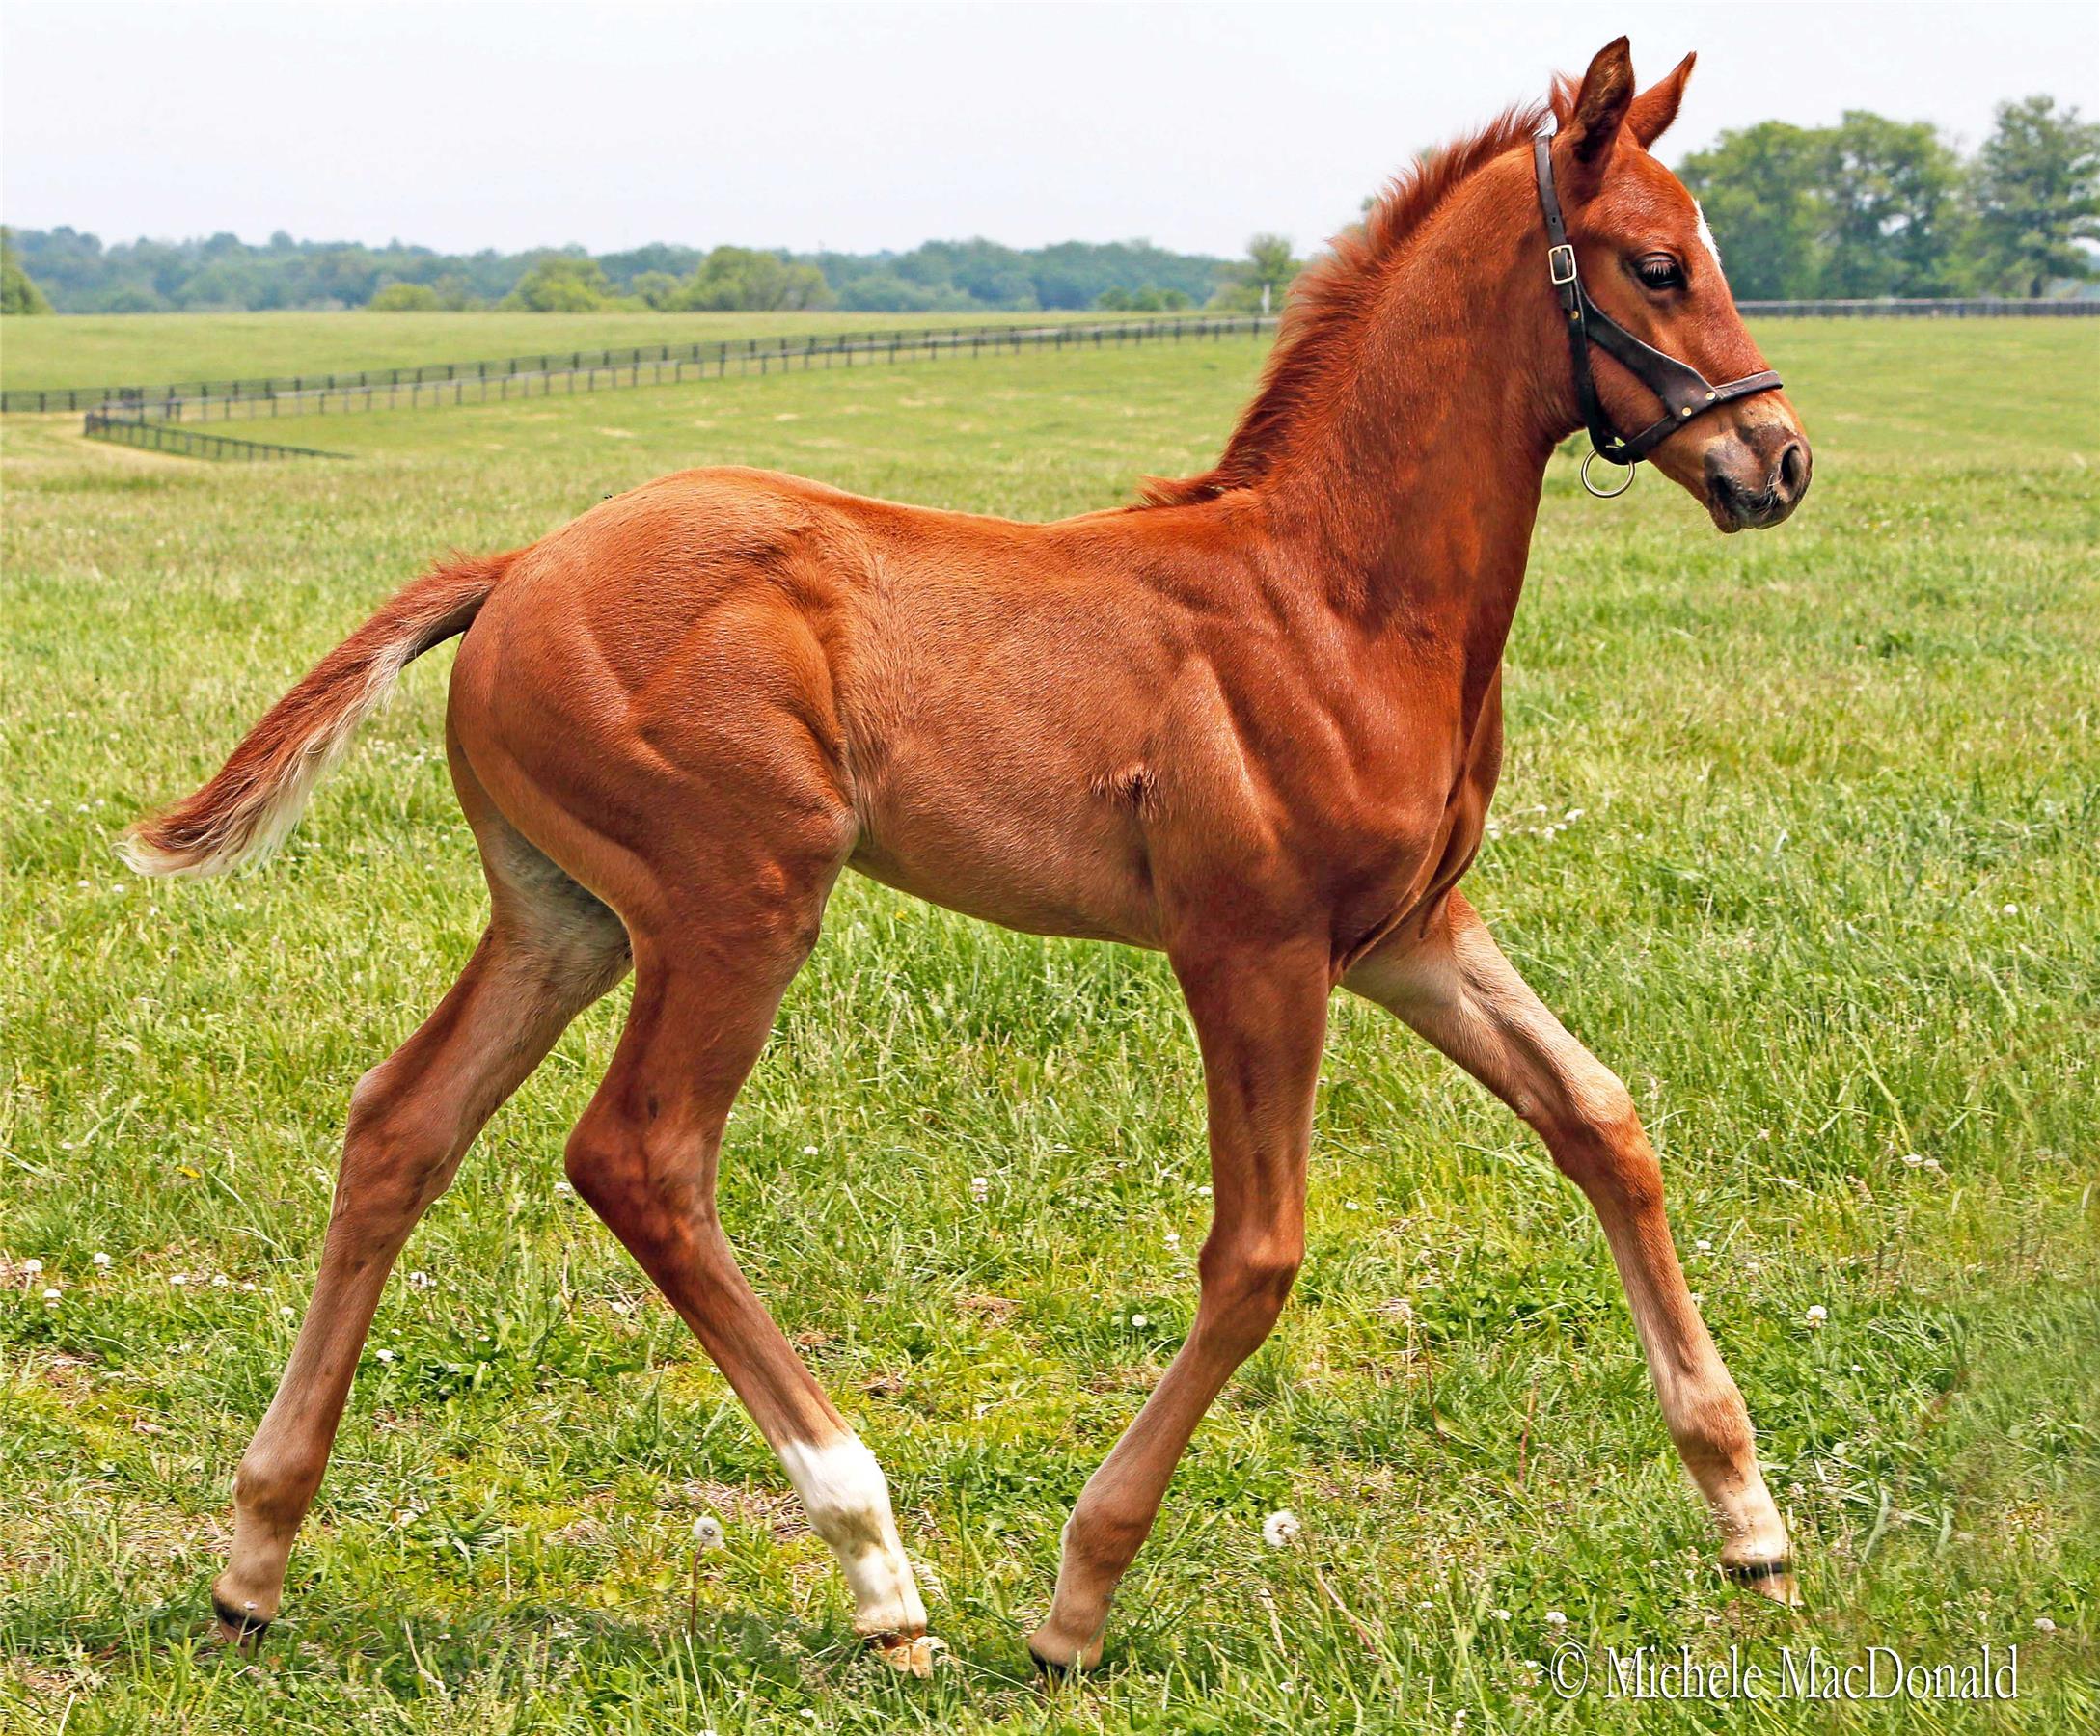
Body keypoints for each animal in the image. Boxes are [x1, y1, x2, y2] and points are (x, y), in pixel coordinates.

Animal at [124, 38, 1810, 1676]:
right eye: (1659, 265)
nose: (1777, 459)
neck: (1335, 594)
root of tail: (521, 562)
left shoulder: (1410, 931)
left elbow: (1601, 1121)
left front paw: (1748, 1520)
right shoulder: (1253, 950)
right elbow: (1257, 1254)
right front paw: (1078, 1598)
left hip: (568, 916)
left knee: (402, 1124)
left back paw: (253, 1562)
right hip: (738, 901)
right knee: (640, 1160)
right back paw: (877, 1569)